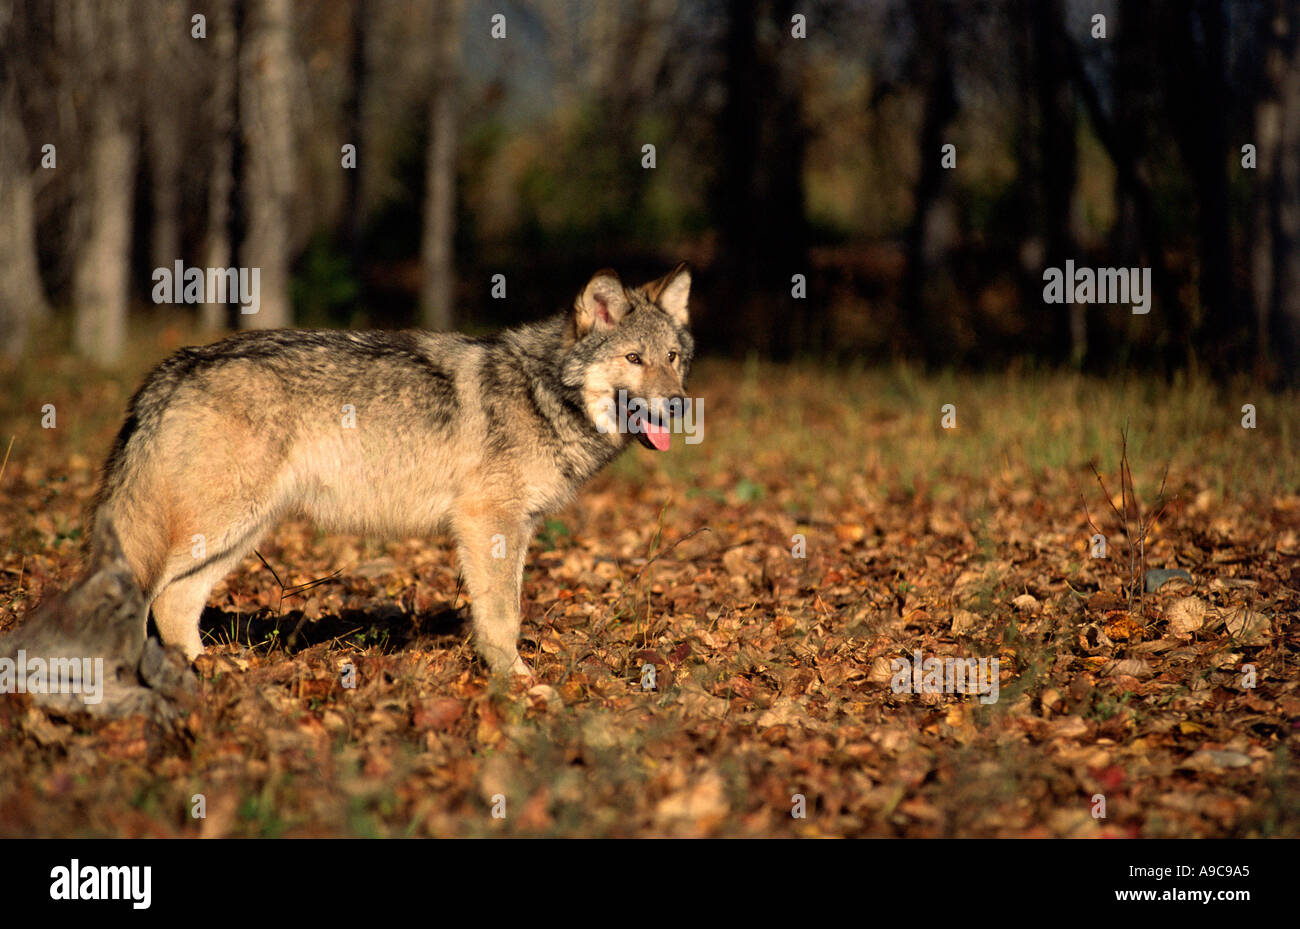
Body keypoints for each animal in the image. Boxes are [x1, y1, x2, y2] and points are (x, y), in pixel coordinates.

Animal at [90, 264, 694, 676]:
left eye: (673, 359)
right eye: (634, 359)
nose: (679, 405)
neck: (542, 392)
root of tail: (175, 367)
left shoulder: (510, 530)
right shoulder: (489, 523)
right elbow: (504, 617)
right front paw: (519, 685)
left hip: (238, 534)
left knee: (174, 604)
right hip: (217, 526)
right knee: (147, 597)